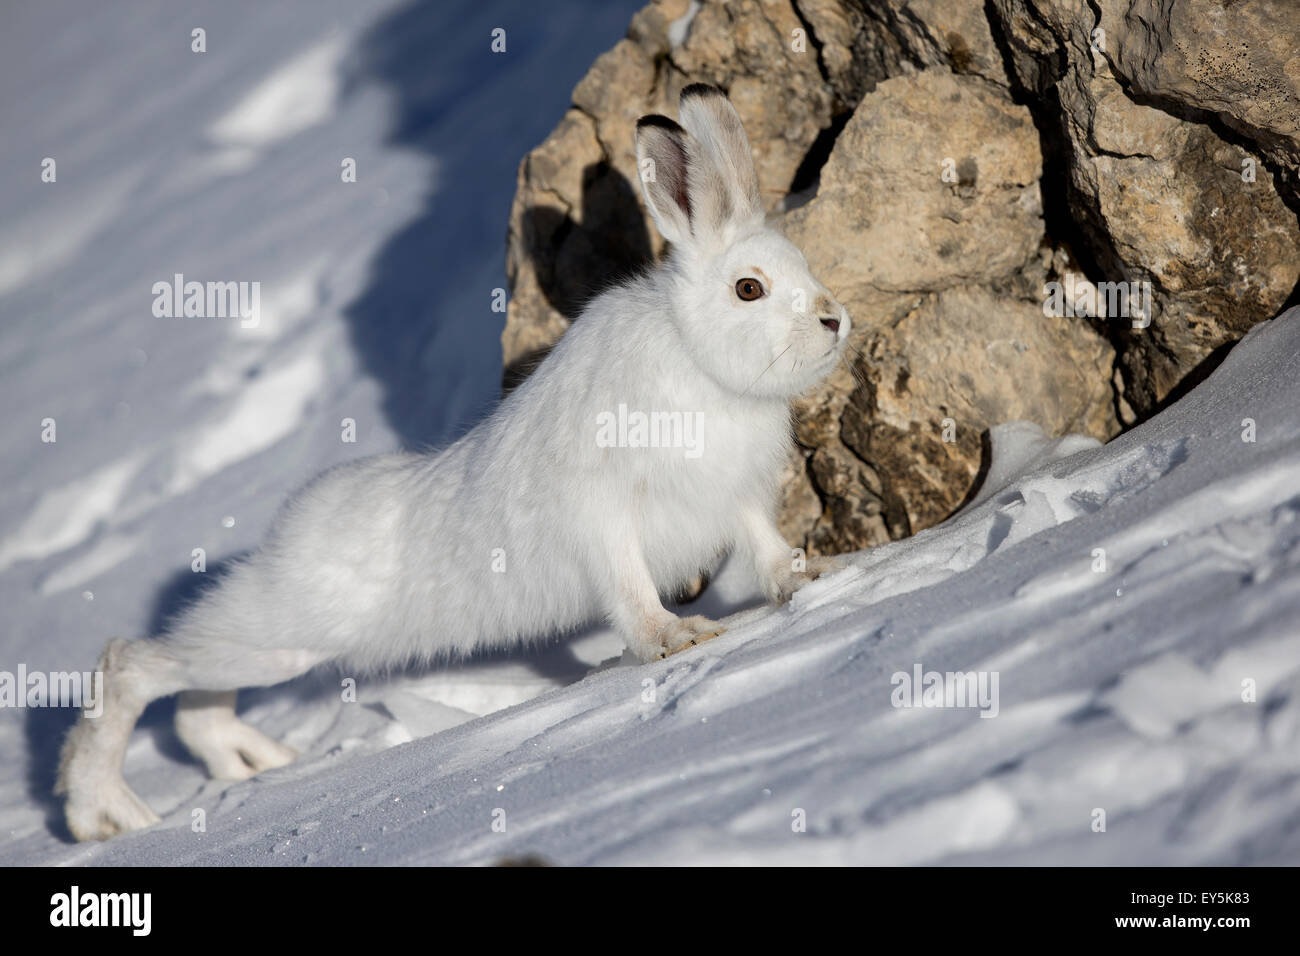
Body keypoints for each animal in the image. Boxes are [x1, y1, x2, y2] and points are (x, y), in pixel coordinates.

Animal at [56, 83, 852, 841]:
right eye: (749, 288)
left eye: (806, 267)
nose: (834, 320)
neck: (697, 358)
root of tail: (287, 531)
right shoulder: (607, 517)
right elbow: (631, 594)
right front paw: (679, 641)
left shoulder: (738, 501)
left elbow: (768, 552)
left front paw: (818, 577)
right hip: (276, 635)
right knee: (132, 664)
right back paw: (104, 812)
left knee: (190, 699)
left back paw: (249, 761)